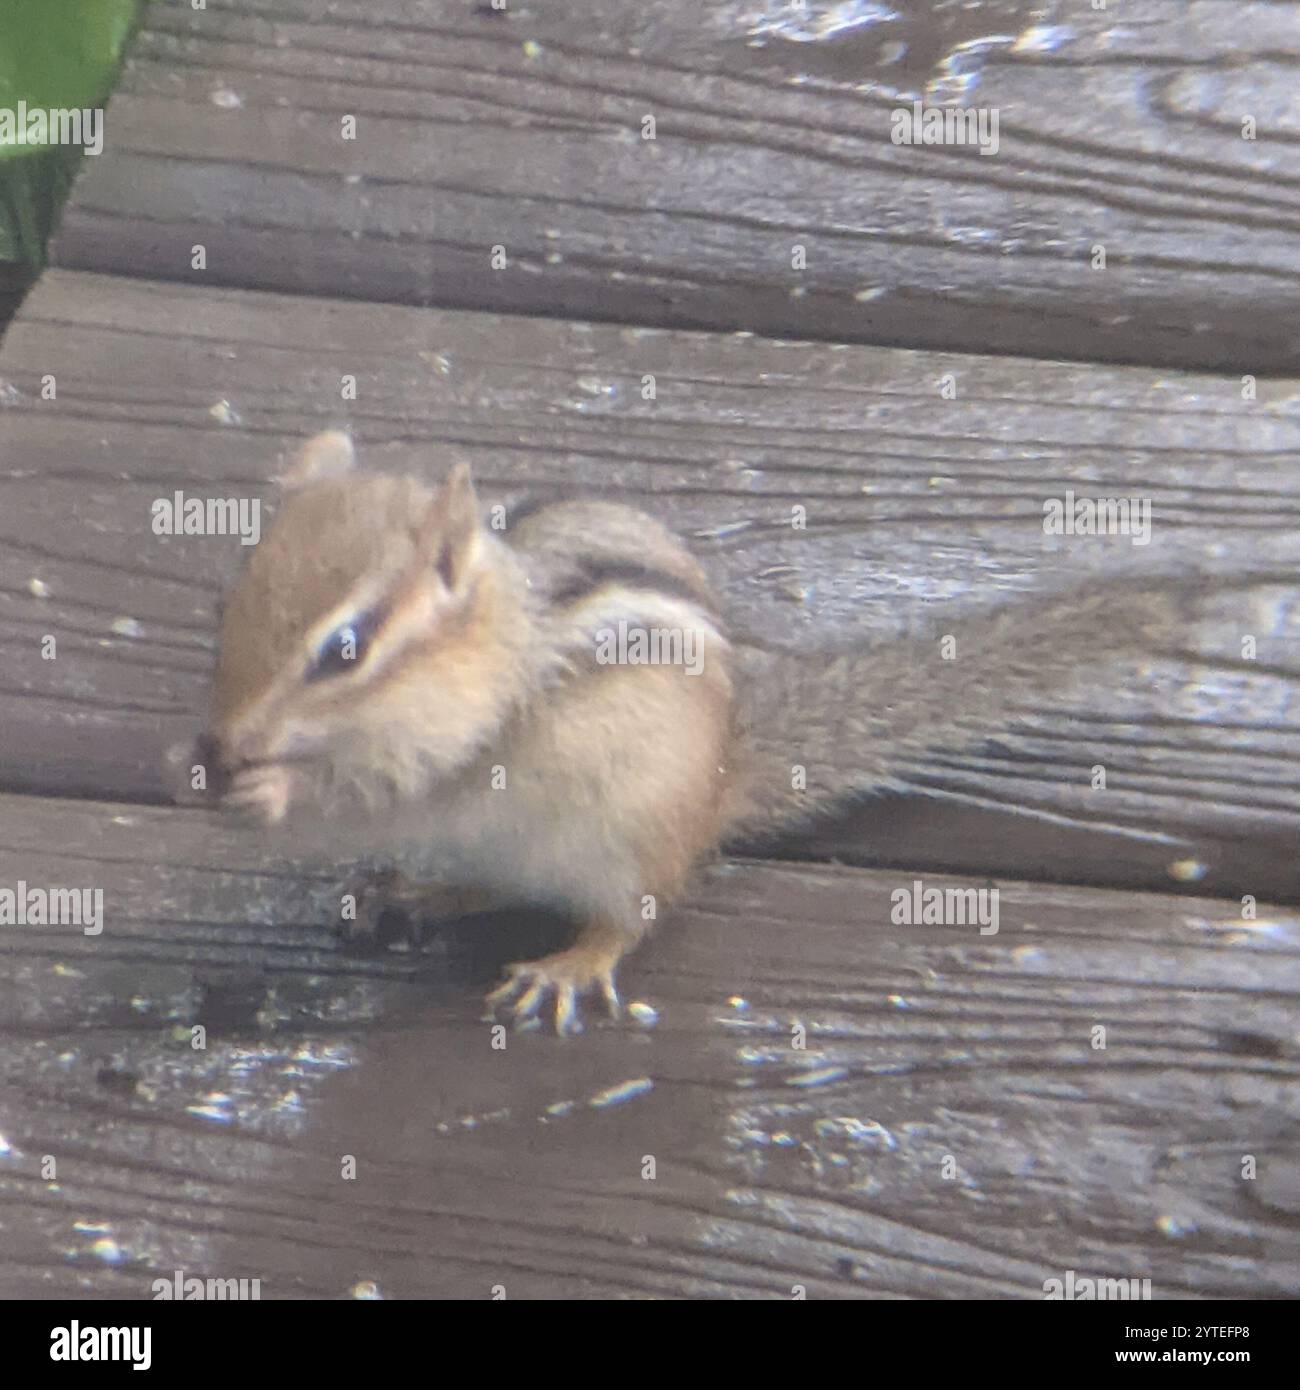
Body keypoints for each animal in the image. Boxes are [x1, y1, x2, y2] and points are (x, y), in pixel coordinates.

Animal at [205, 430, 1198, 1033]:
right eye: (232, 600)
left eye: (344, 649)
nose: (218, 743)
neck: (489, 638)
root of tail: (722, 776)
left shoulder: (473, 739)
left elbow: (385, 788)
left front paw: (271, 787)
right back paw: (419, 888)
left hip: (628, 835)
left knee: (631, 914)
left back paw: (569, 963)